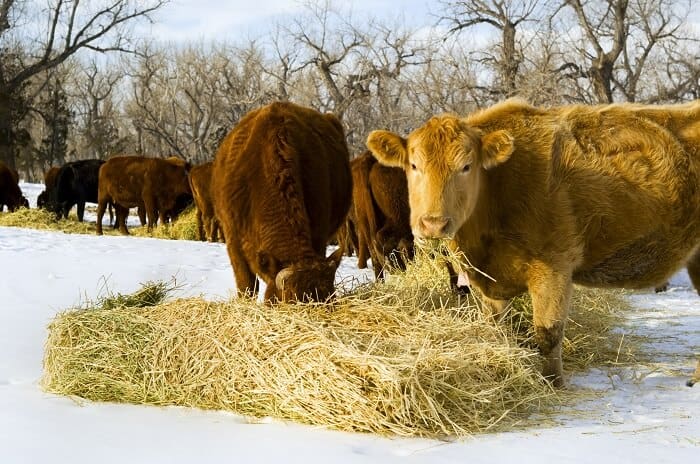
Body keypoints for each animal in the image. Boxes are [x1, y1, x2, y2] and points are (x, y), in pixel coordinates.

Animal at [367, 98, 700, 387]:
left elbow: (548, 333)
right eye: (413, 165)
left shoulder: (554, 267)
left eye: (466, 166)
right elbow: (499, 328)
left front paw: (553, 384)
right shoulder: (488, 281)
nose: (434, 224)